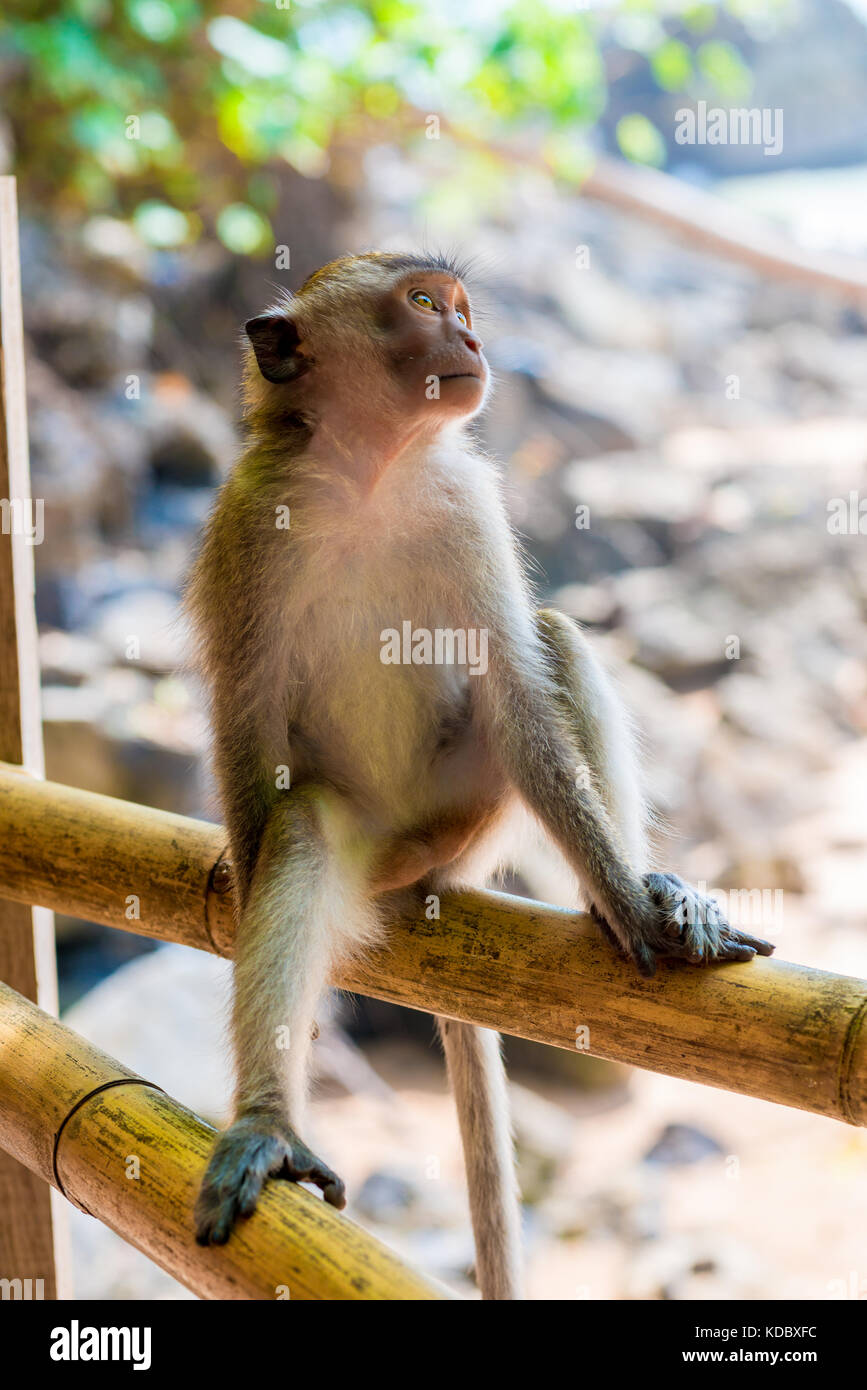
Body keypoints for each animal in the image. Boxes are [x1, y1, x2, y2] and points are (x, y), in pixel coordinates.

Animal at [184, 252, 773, 1300]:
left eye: (457, 309)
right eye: (423, 305)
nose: (469, 338)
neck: (370, 475)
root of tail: (422, 867)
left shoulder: (467, 501)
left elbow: (516, 688)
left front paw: (631, 901)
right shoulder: (248, 525)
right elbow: (247, 732)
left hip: (462, 822)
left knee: (553, 640)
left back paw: (627, 895)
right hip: (375, 843)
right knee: (302, 829)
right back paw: (268, 1126)